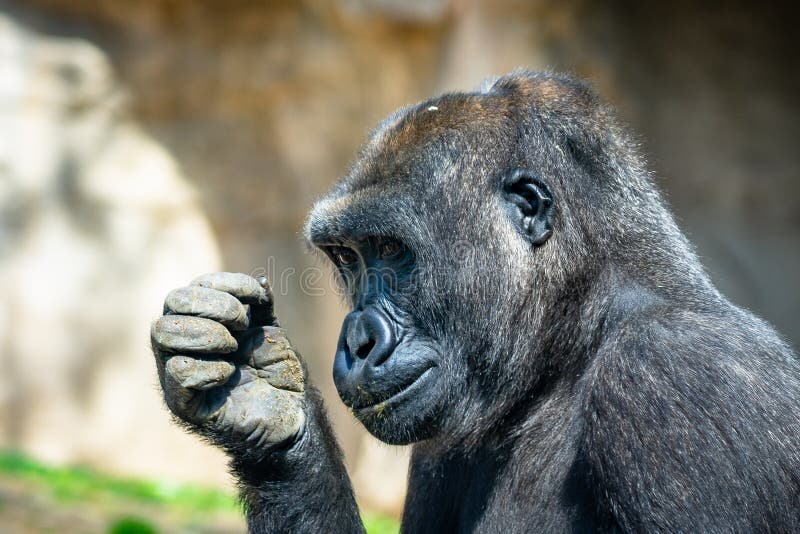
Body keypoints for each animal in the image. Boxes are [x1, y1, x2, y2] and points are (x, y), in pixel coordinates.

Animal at [151, 70, 800, 533]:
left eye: (392, 249)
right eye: (348, 258)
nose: (359, 340)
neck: (577, 331)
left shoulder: (681, 377)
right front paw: (266, 399)